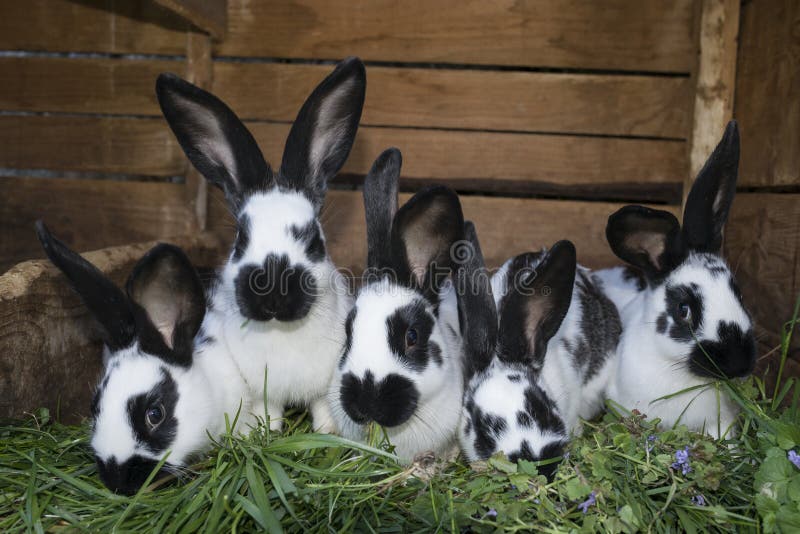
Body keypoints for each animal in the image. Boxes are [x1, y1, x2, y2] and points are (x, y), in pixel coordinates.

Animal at [155, 57, 366, 432]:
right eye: (240, 239)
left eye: (314, 240)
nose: (272, 294)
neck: (282, 332)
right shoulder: (263, 392)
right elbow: (271, 413)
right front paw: (264, 434)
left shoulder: (324, 387)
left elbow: (323, 412)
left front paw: (328, 434)